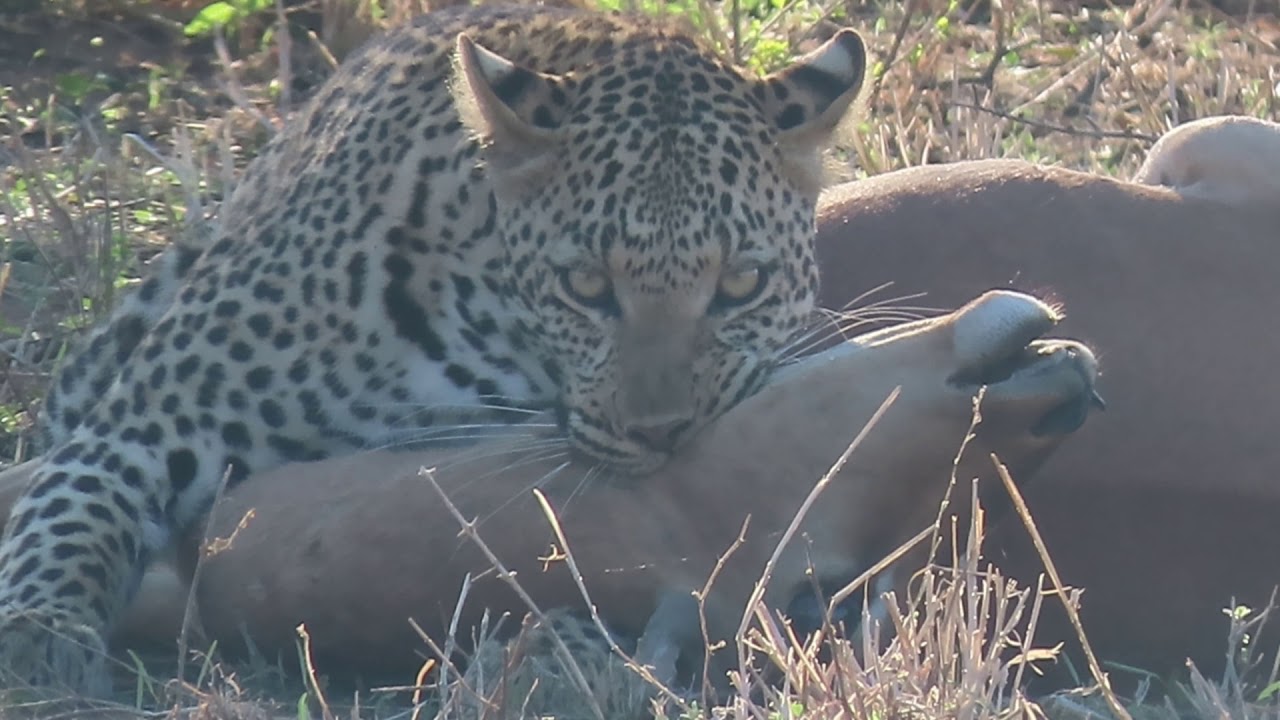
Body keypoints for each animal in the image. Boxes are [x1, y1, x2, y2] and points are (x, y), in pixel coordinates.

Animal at [0, 2, 867, 695]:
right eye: (586, 286)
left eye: (741, 283)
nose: (664, 433)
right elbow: (70, 520)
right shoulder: (146, 424)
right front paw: (38, 644)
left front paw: (563, 656)